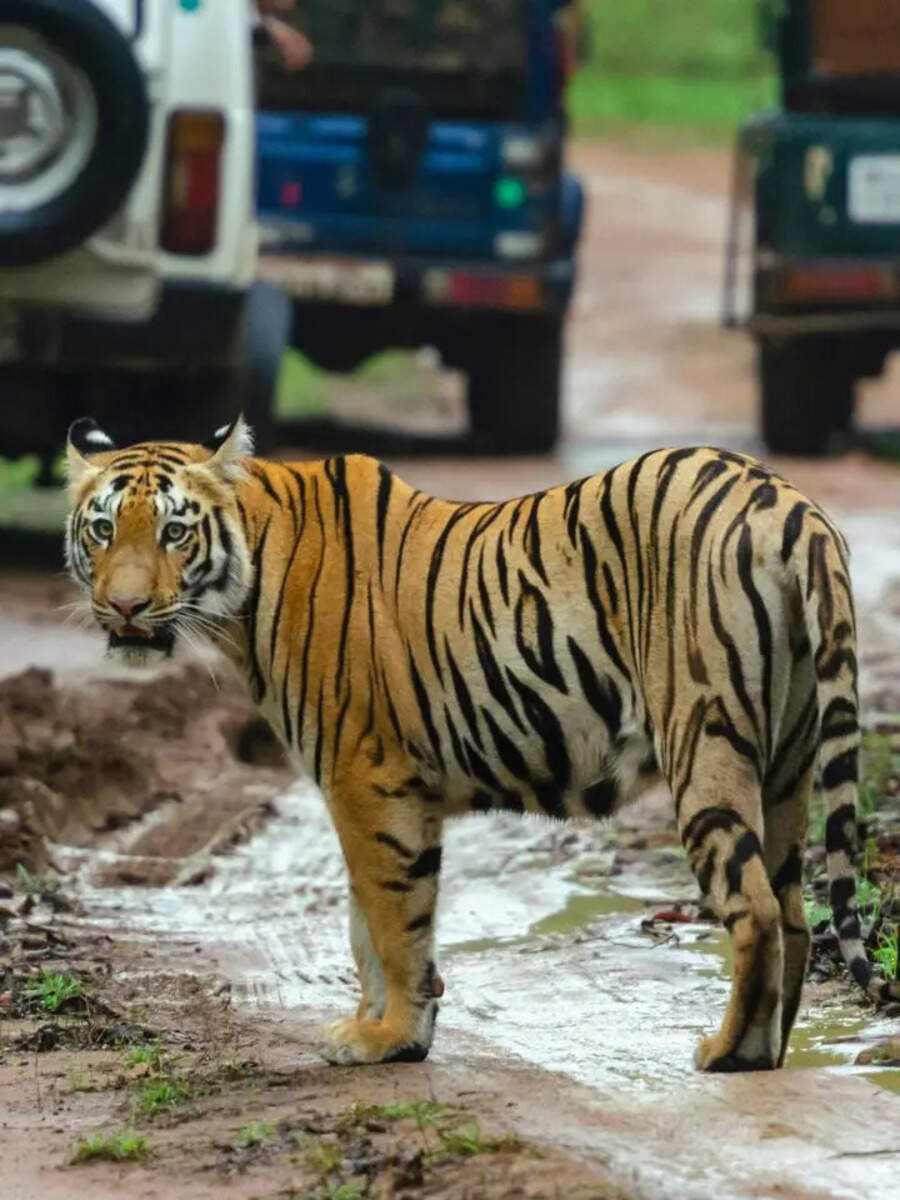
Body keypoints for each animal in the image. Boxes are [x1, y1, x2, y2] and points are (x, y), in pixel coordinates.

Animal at [63, 414, 900, 1071]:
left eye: (175, 531)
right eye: (103, 529)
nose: (125, 607)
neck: (246, 587)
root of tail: (786, 501)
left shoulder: (366, 778)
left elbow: (390, 919)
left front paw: (390, 1037)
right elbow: (367, 924)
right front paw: (382, 1027)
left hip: (704, 740)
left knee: (753, 907)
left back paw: (730, 1054)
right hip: (789, 759)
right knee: (794, 910)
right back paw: (774, 1048)